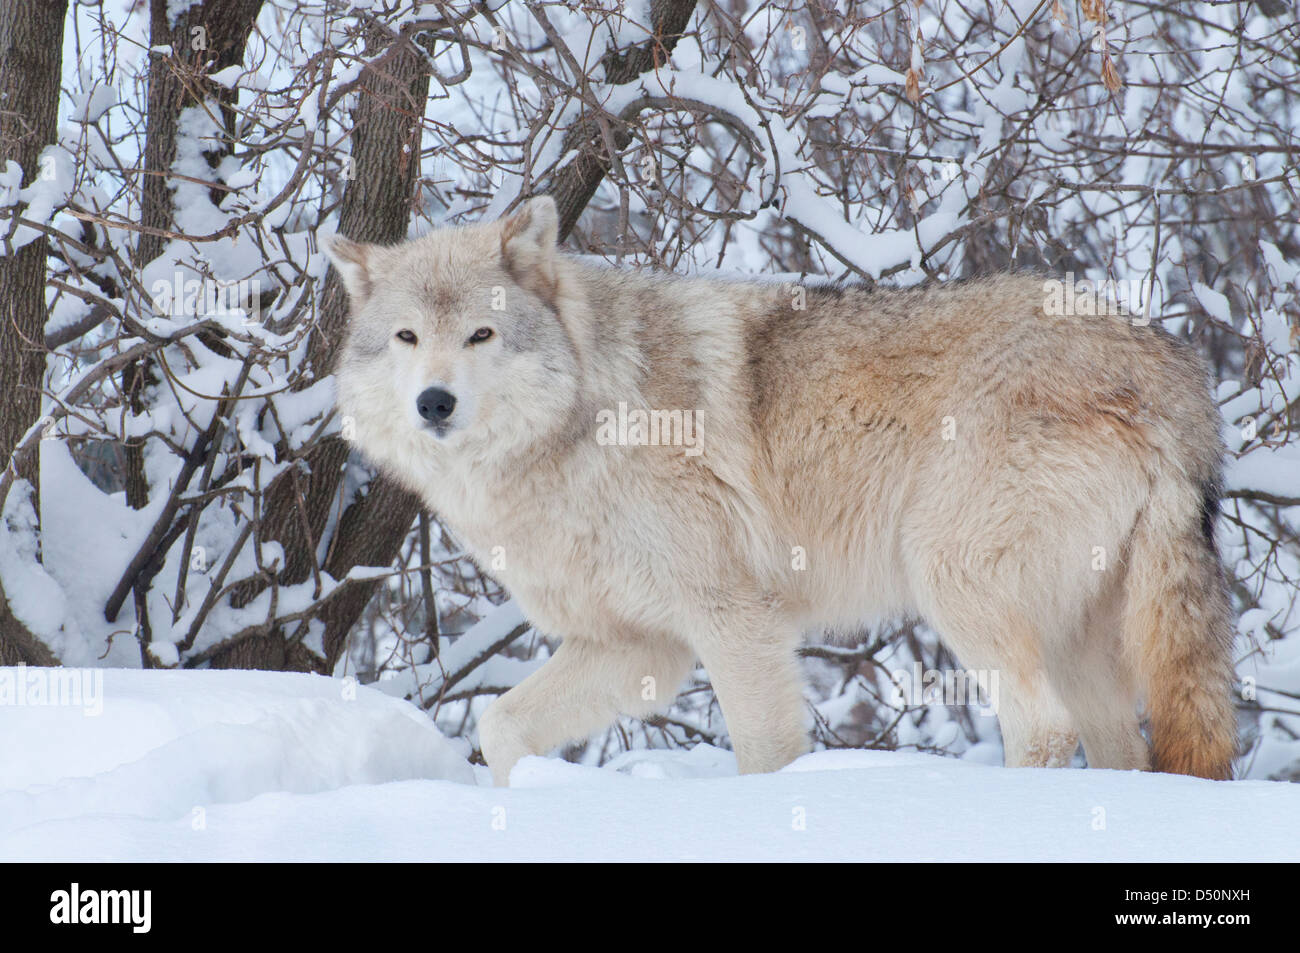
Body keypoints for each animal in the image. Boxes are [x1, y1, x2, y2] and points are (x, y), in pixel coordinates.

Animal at [327, 196, 1237, 786]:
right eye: (407, 337)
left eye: (481, 334)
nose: (433, 402)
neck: (578, 424)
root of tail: (1175, 373)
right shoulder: (641, 646)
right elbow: (500, 724)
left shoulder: (735, 617)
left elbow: (764, 755)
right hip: (1078, 637)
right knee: (1124, 755)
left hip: (952, 581)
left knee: (1042, 729)